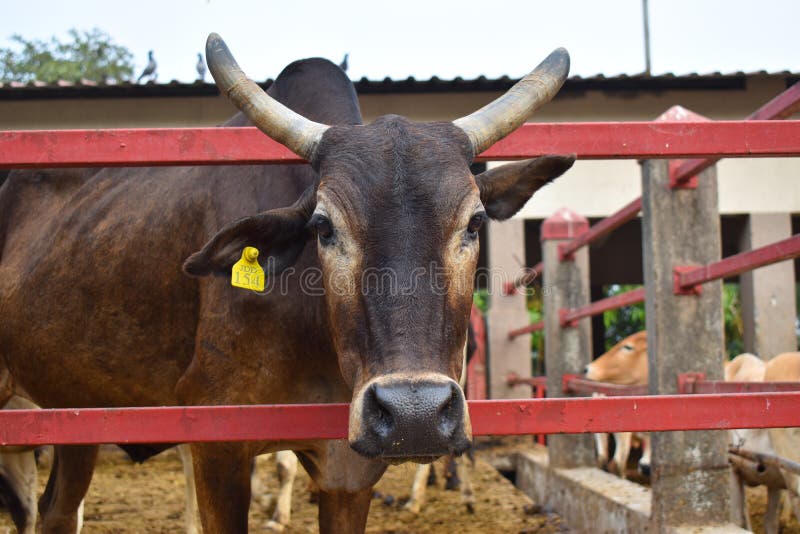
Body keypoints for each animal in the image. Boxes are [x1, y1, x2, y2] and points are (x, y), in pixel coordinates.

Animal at [0, 32, 574, 533]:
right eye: (323, 226)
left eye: (474, 223)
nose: (415, 414)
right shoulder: (217, 446)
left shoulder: (349, 471)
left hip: (74, 414)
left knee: (55, 512)